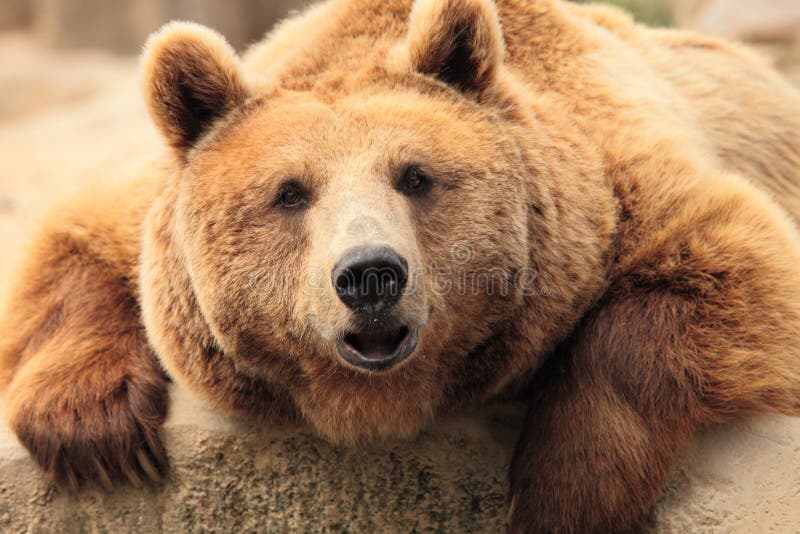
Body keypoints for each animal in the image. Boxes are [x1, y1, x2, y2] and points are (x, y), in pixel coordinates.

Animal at [2, 0, 800, 531]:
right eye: (290, 192)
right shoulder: (148, 209)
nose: (369, 275)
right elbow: (82, 234)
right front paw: (96, 436)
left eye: (415, 176)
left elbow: (734, 268)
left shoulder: (618, 179)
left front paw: (564, 489)